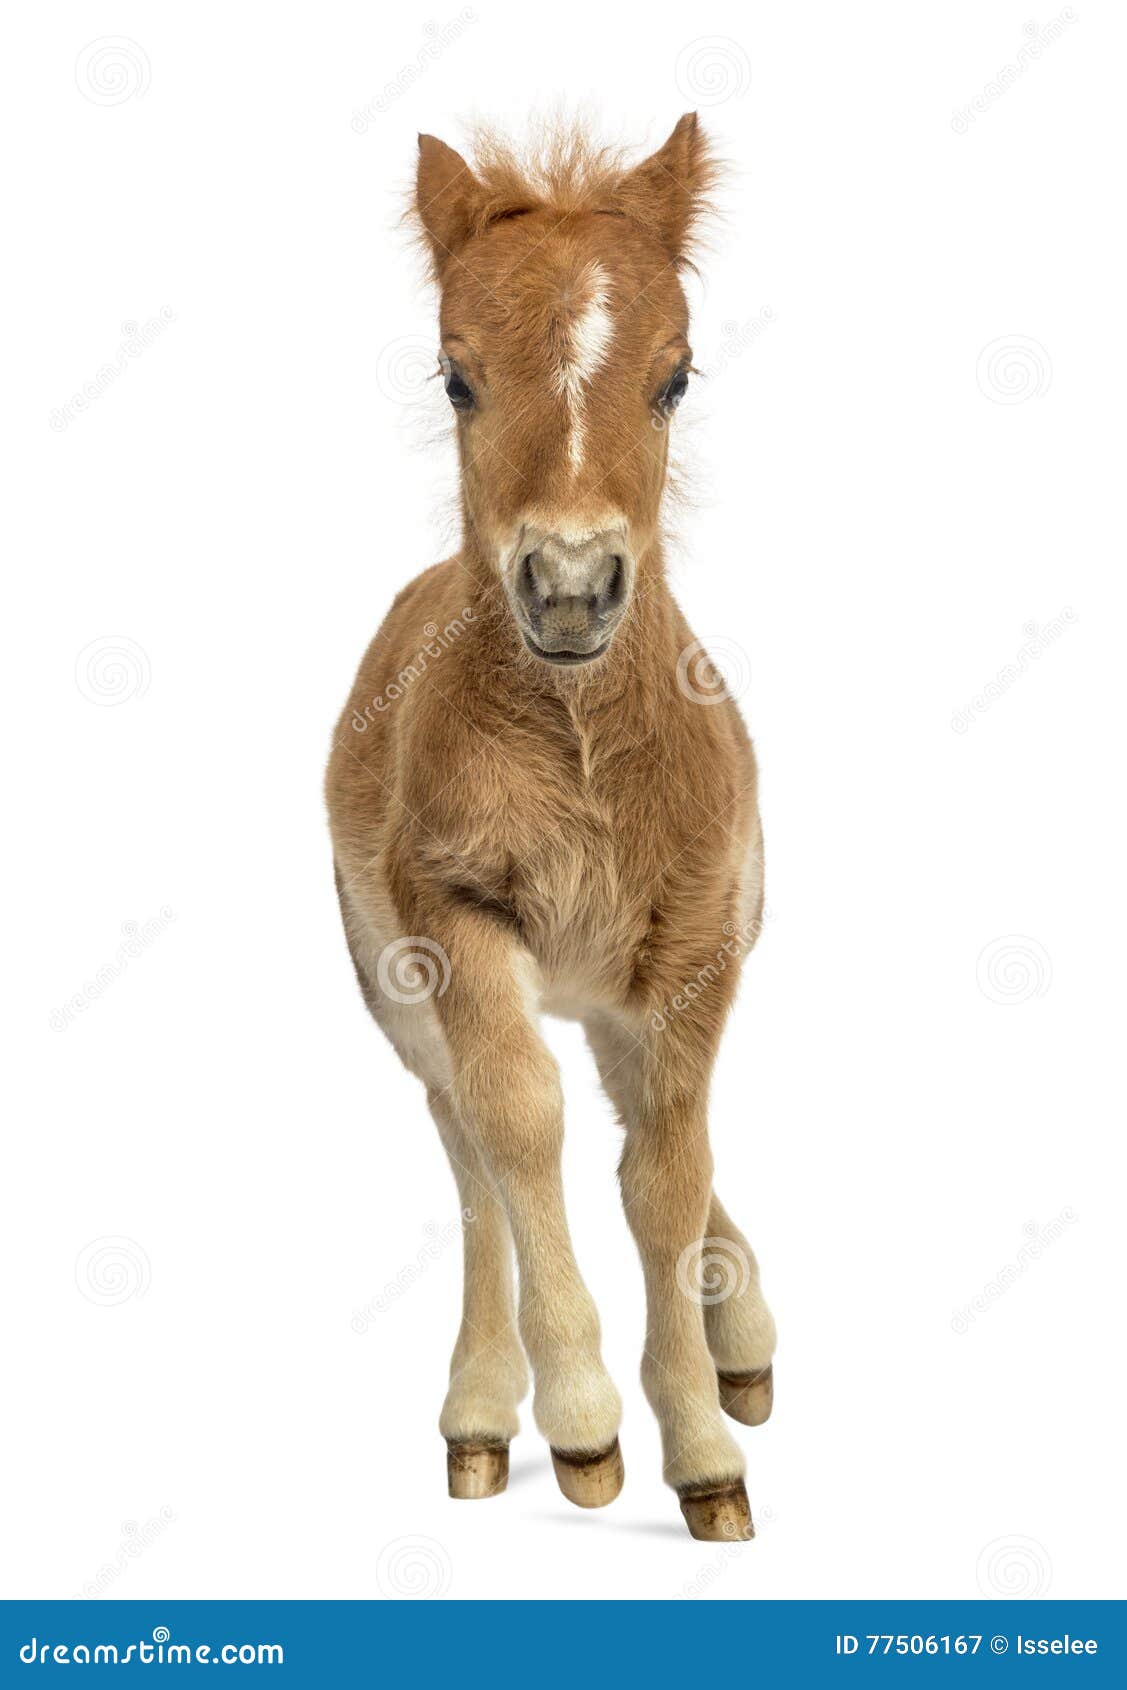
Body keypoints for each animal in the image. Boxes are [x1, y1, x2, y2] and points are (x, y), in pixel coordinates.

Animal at [325, 114, 776, 1542]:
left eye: (675, 376)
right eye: (455, 376)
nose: (570, 587)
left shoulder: (696, 942)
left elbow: (665, 1172)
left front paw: (704, 1446)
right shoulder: (453, 922)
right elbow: (521, 1128)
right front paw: (585, 1424)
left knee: (643, 1127)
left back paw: (742, 1333)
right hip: (391, 986)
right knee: (469, 1148)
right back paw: (483, 1411)